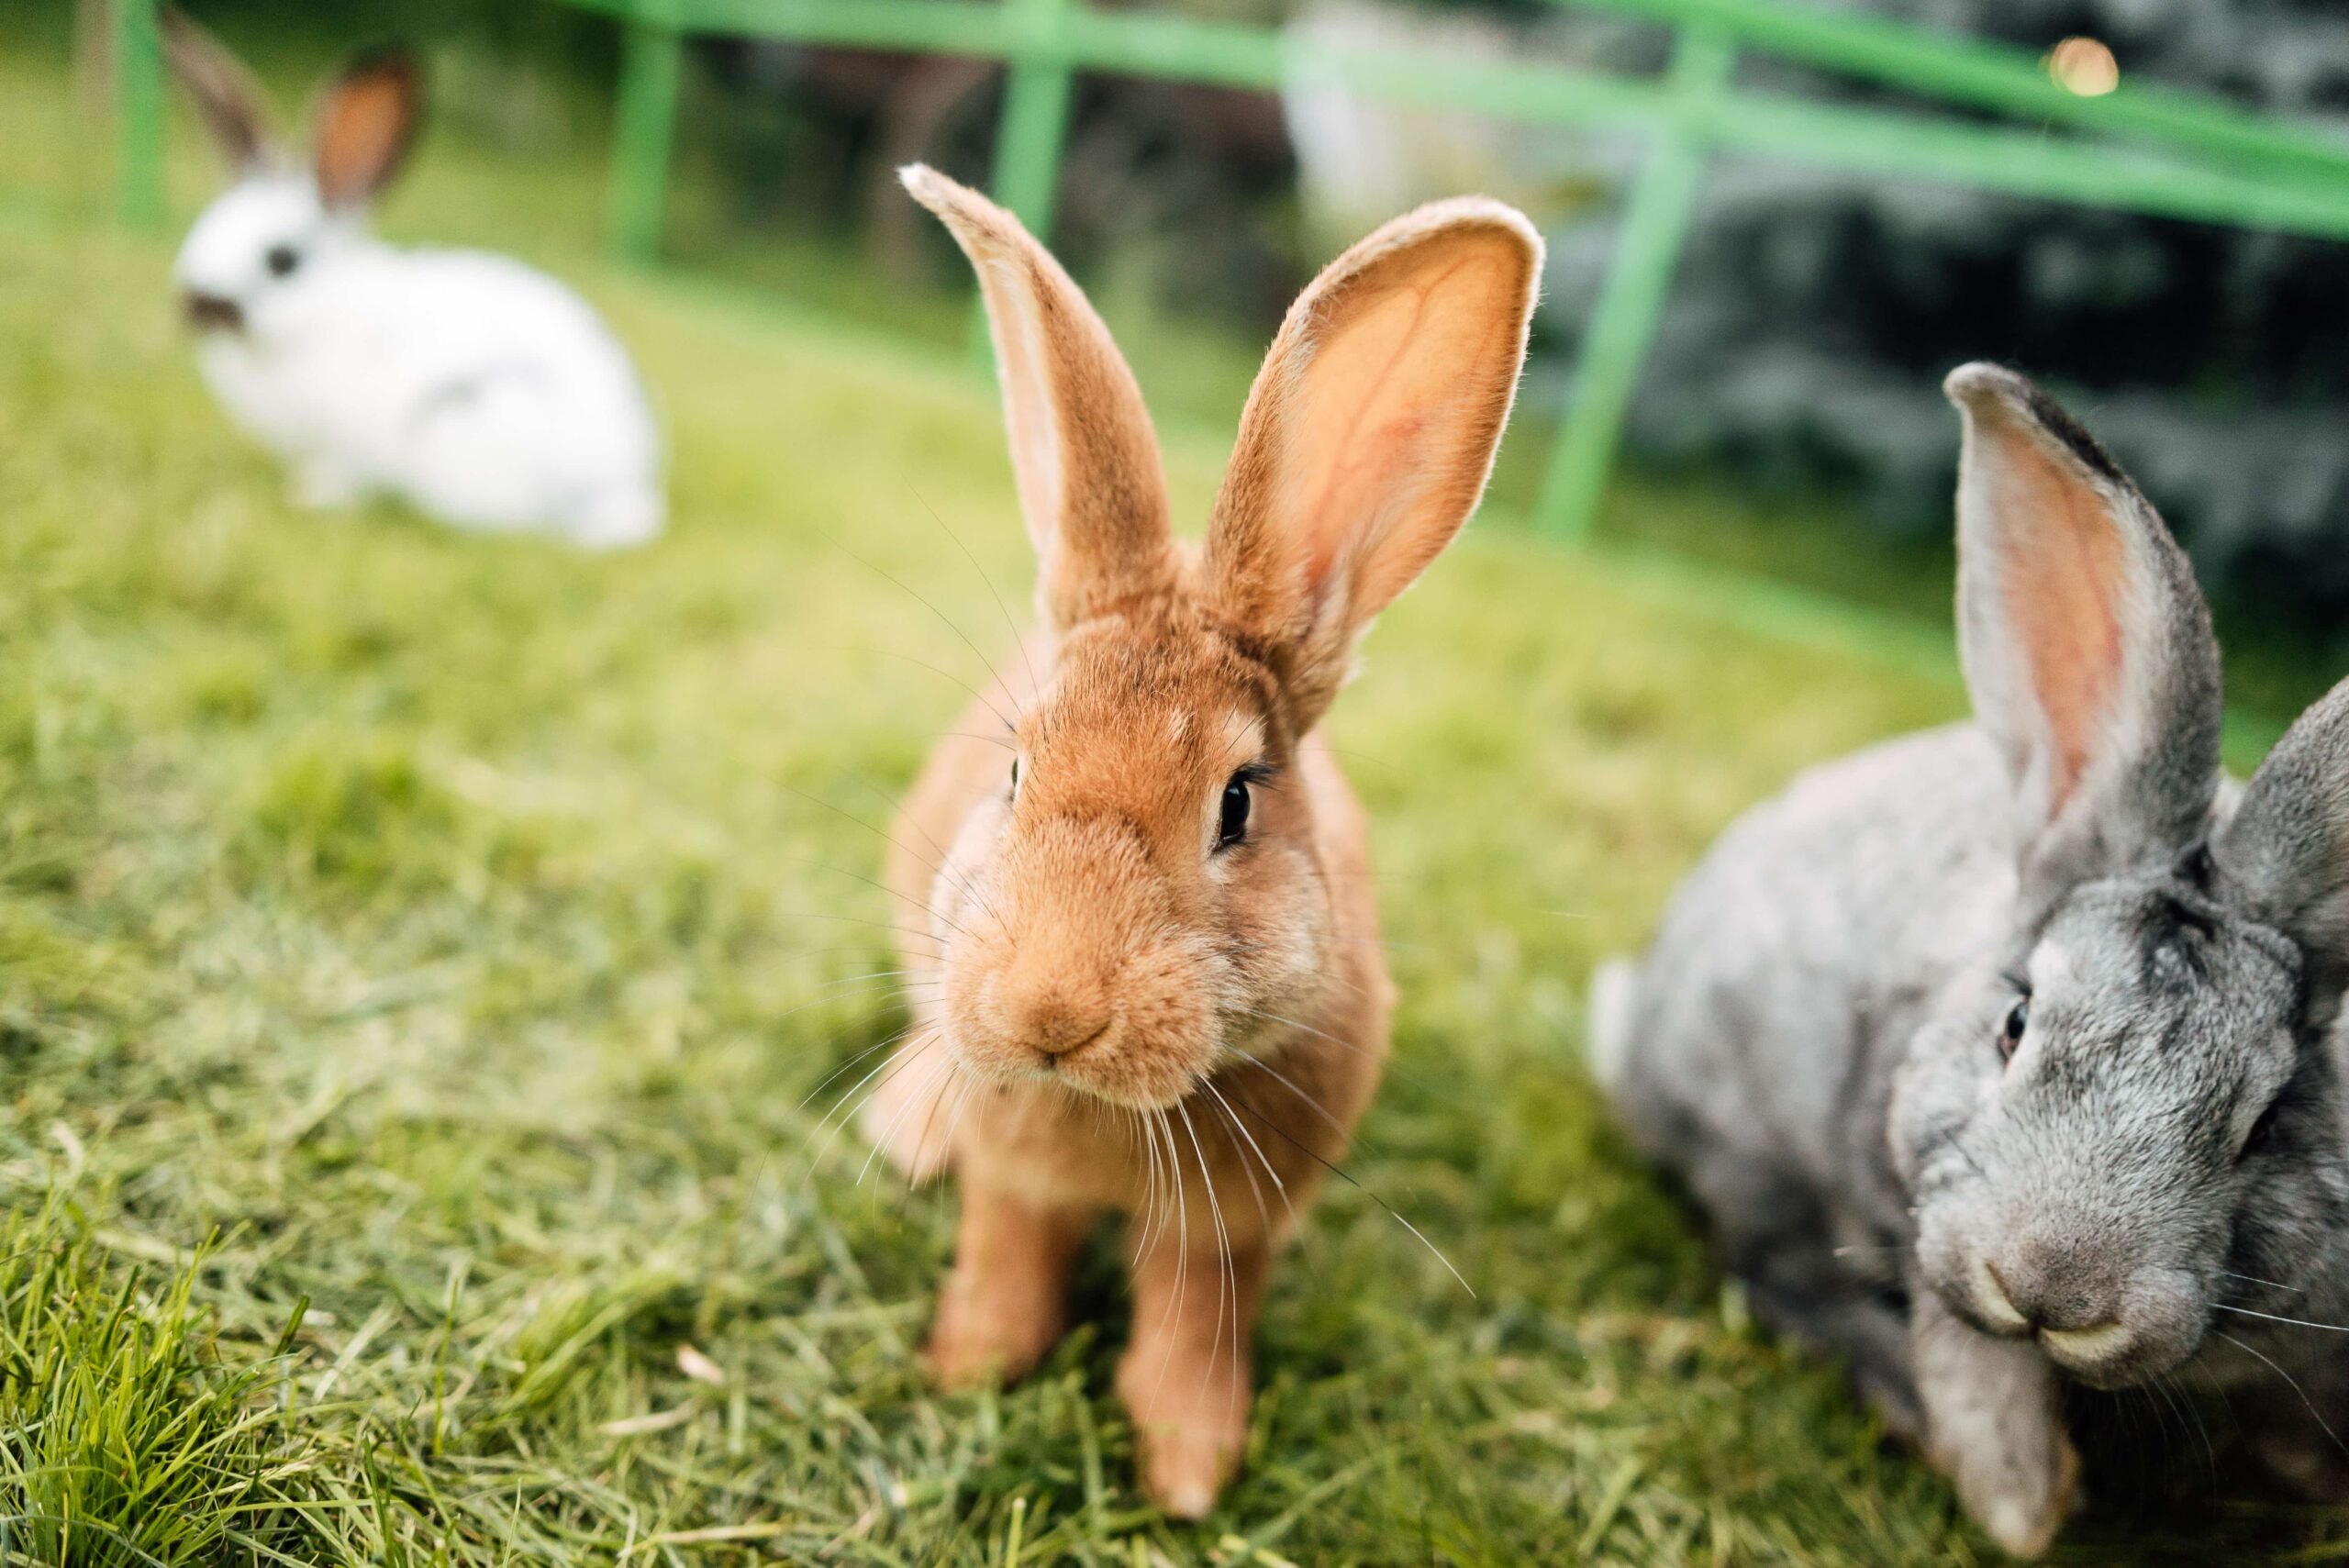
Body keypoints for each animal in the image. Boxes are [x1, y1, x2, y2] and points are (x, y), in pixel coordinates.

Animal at [162, 12, 664, 549]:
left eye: (282, 260)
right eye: (203, 231)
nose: (198, 304)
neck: (323, 313)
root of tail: (623, 490)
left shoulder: (352, 438)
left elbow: (346, 474)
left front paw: (316, 495)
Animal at [860, 165, 1539, 1517]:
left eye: (1237, 804)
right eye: (1014, 768)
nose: (1050, 1010)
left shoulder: (1228, 1231)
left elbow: (1187, 1328)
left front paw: (1188, 1470)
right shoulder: (1014, 1181)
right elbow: (1006, 1272)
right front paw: (967, 1375)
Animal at [1592, 362, 2349, 1556]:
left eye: (2268, 1123)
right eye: (2014, 1022)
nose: (2052, 1286)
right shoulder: (1931, 1201)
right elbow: (1973, 1361)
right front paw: (2021, 1507)